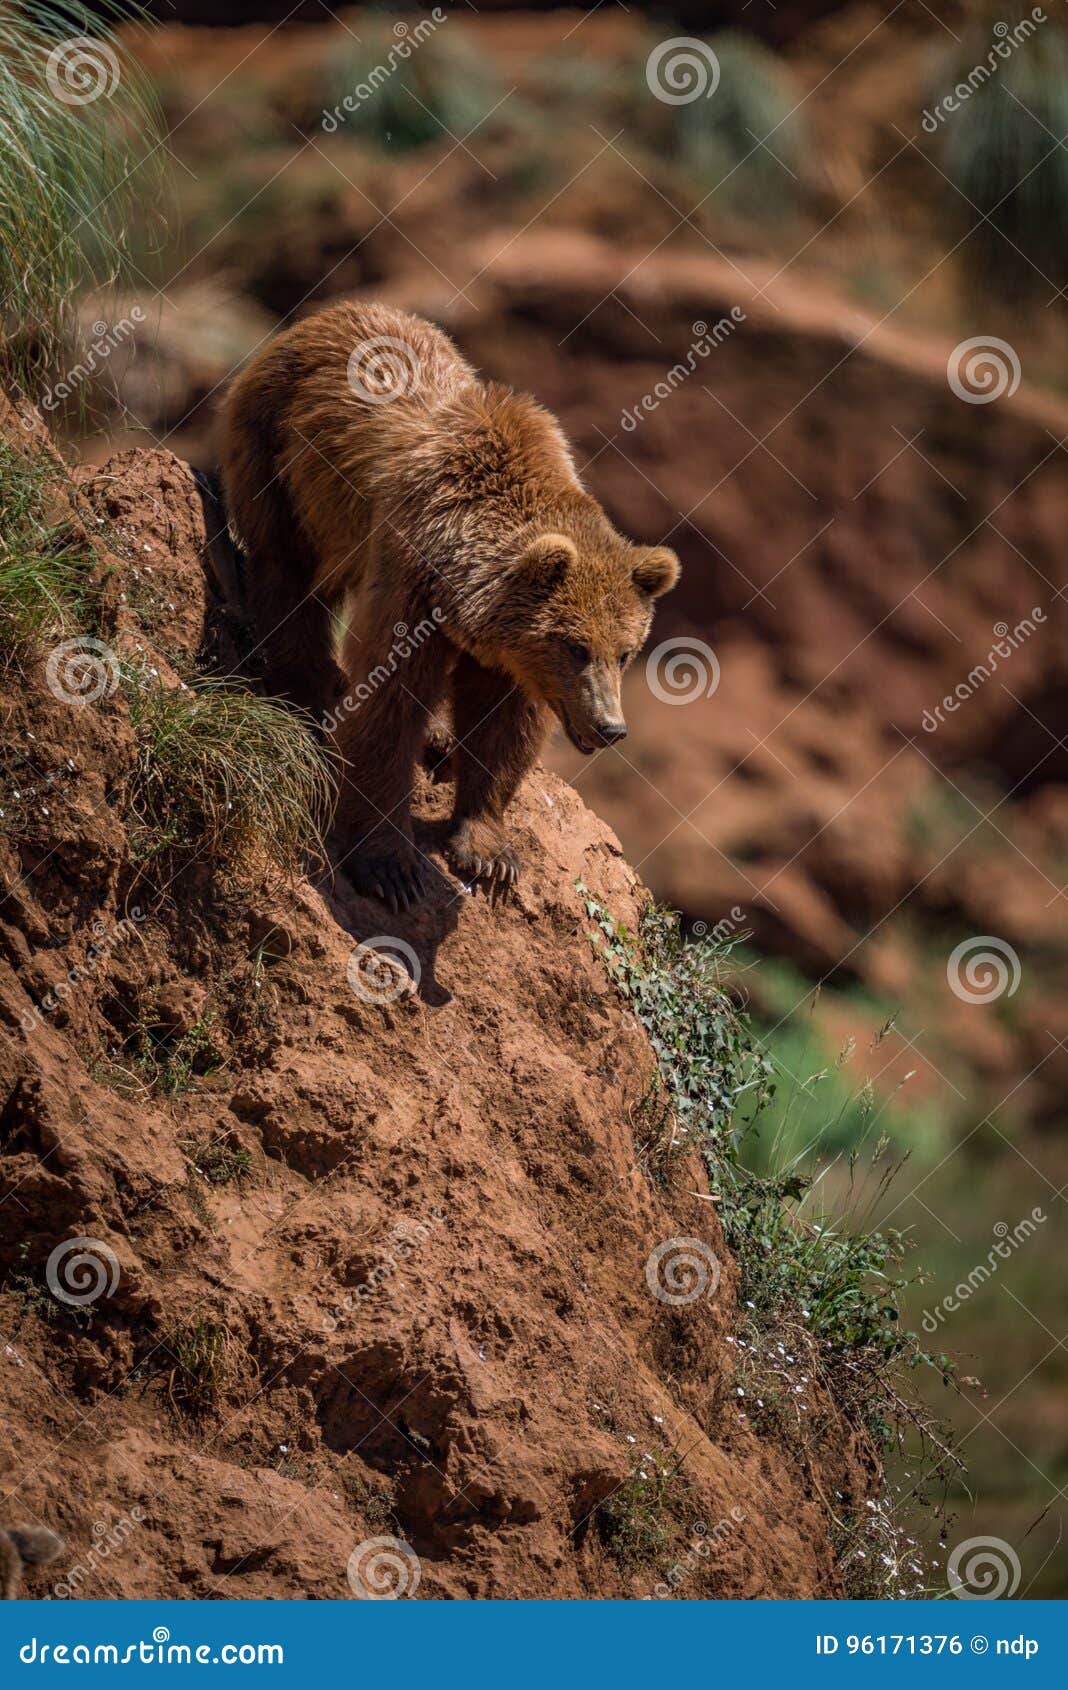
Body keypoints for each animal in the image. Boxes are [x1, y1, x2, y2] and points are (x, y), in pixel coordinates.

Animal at [218, 300, 679, 912]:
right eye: (576, 647)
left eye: (626, 652)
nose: (610, 727)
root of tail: (327, 312)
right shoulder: (411, 580)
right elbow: (388, 702)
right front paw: (390, 865)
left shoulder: (509, 653)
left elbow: (502, 726)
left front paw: (489, 852)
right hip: (281, 456)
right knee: (286, 572)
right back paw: (307, 688)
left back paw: (437, 737)